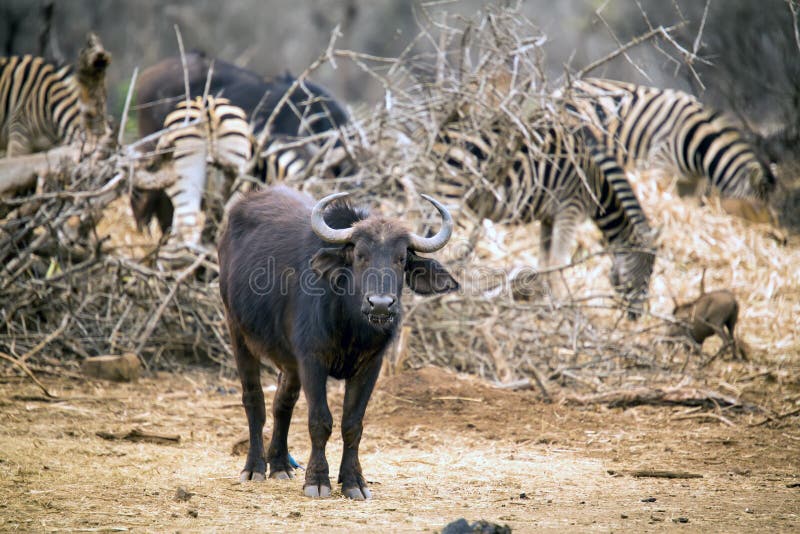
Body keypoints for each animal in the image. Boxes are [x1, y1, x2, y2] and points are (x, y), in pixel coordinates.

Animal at [219, 186, 458, 499]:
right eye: (360, 255)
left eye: (401, 259)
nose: (381, 304)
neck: (351, 326)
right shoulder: (312, 360)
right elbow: (320, 421)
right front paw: (318, 480)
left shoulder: (370, 365)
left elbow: (352, 424)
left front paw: (354, 481)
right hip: (237, 332)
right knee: (254, 401)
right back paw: (255, 467)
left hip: (289, 362)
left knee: (283, 402)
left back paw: (280, 464)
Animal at [432, 121, 656, 319]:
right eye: (649, 273)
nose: (637, 317)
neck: (598, 187)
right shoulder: (570, 208)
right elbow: (559, 263)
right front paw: (563, 308)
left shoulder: (550, 218)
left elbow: (545, 263)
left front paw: (543, 303)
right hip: (451, 191)